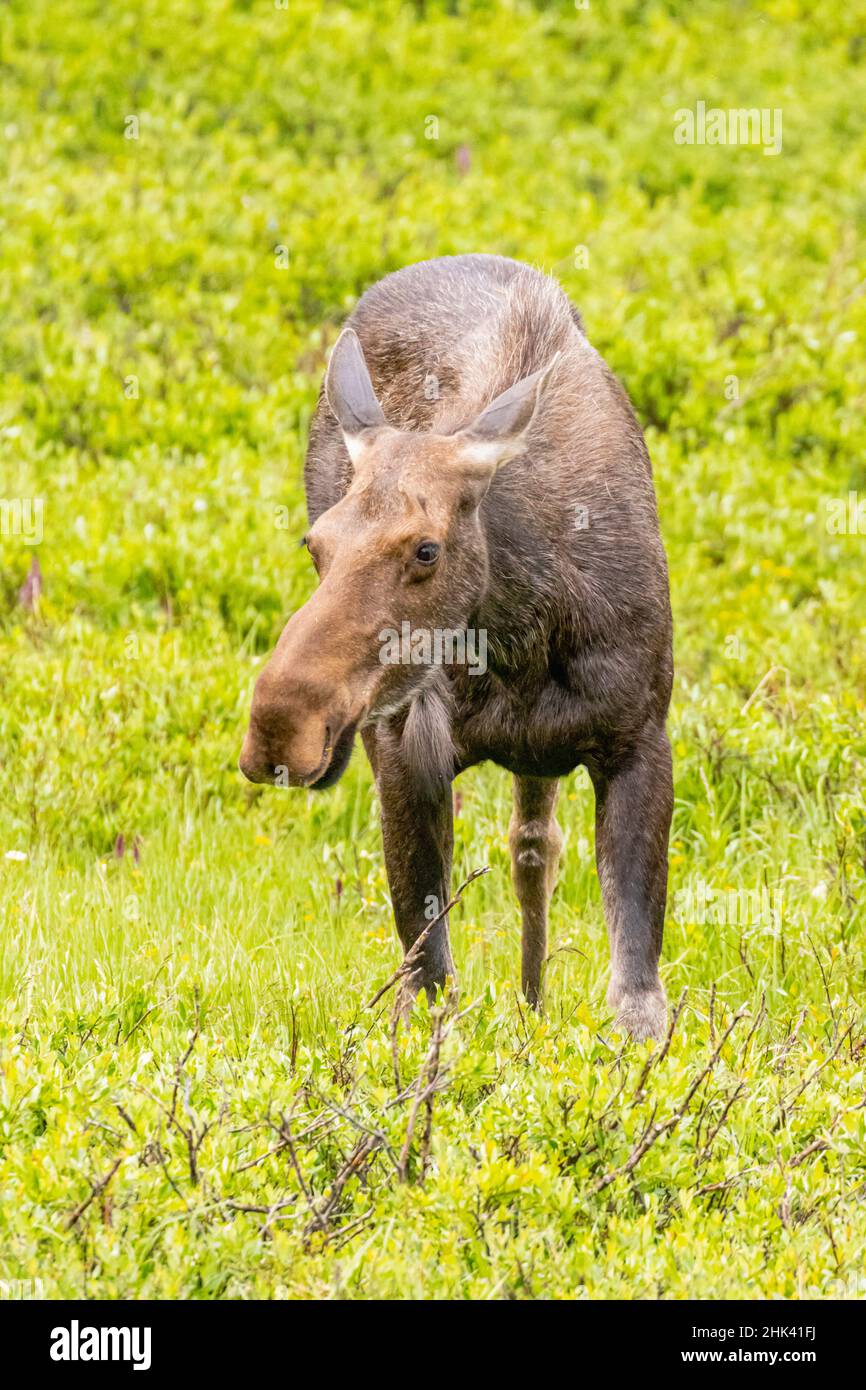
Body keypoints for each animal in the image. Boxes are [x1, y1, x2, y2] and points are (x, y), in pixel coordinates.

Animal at [239, 254, 673, 1040]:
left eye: (426, 549)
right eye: (315, 544)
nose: (281, 727)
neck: (526, 628)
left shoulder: (640, 740)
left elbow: (638, 1000)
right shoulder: (408, 746)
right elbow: (428, 985)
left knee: (534, 849)